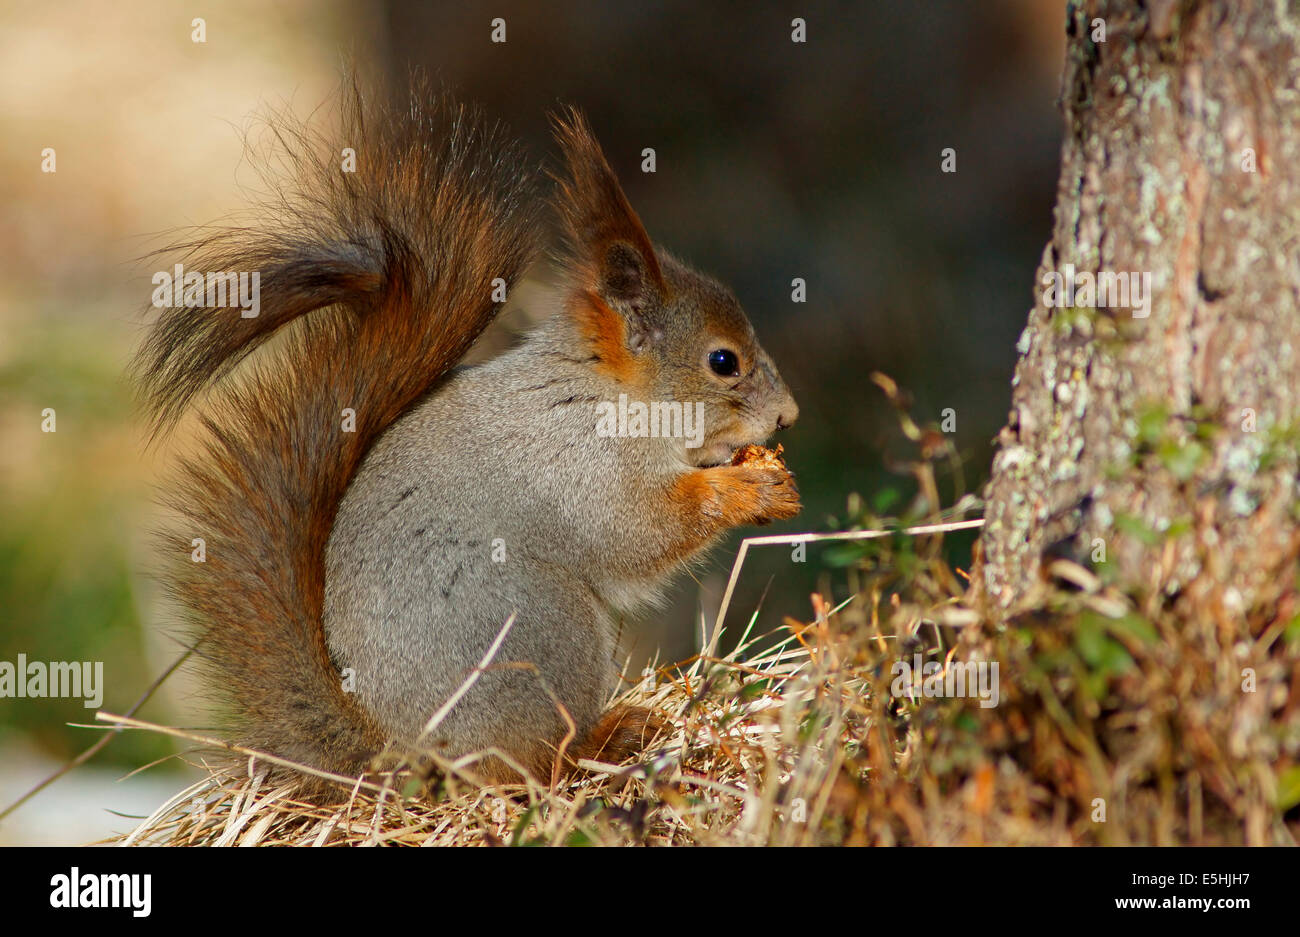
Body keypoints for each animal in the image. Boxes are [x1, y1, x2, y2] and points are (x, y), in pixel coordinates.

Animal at [134, 77, 800, 791]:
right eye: (723, 361)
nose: (788, 415)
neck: (607, 394)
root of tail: (397, 749)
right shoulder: (576, 465)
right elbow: (639, 533)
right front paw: (752, 489)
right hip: (543, 626)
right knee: (534, 762)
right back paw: (611, 738)